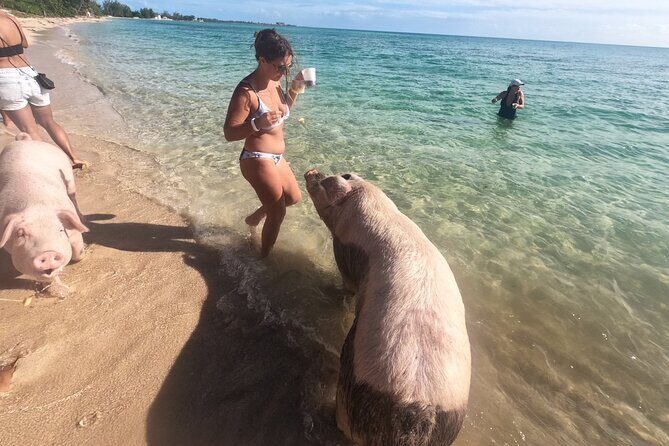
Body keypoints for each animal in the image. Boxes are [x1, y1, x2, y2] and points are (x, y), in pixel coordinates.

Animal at [0, 134, 88, 283]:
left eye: (61, 230)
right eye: (20, 234)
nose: (47, 254)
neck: (37, 207)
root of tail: (26, 140)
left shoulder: (72, 227)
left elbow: (77, 249)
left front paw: (83, 253)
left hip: (68, 176)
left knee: (73, 195)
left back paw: (82, 218)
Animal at [305, 169, 471, 446]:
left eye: (325, 181)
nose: (312, 172)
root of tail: (418, 411)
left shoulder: (344, 253)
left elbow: (348, 286)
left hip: (354, 385)